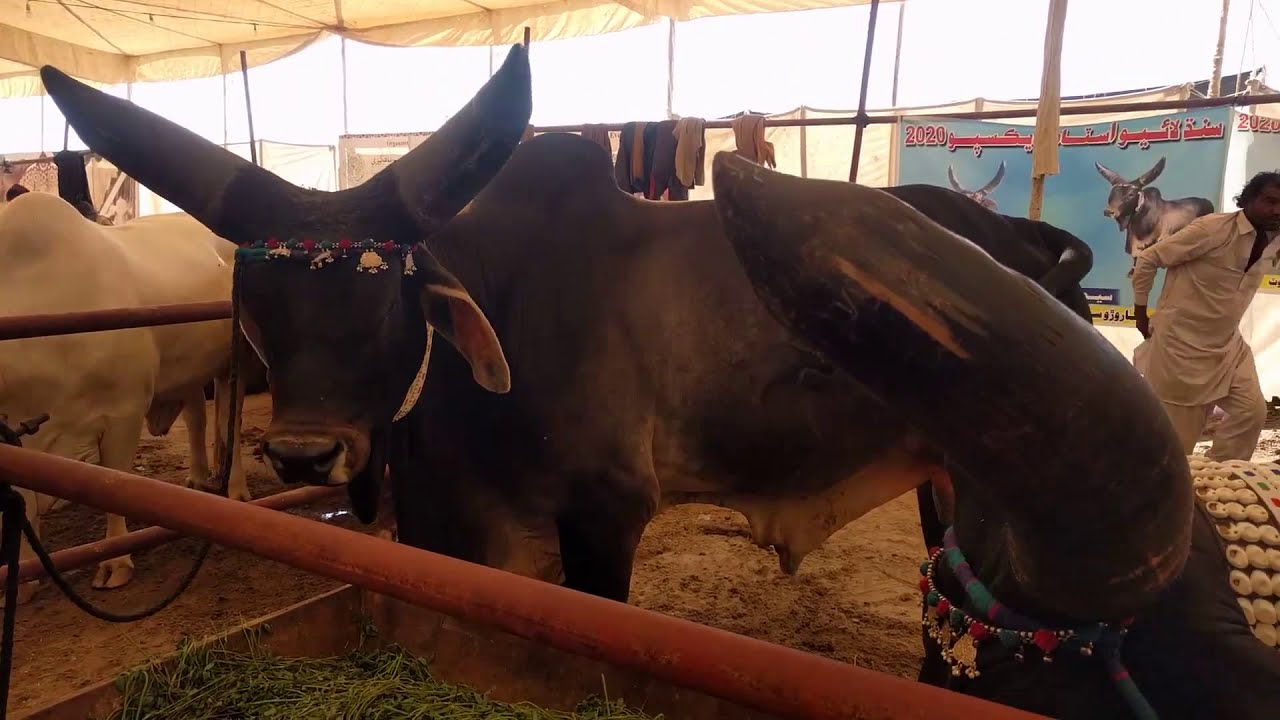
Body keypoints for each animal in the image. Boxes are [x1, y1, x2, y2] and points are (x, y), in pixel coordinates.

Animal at [0, 192, 251, 604]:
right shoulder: (15, 434)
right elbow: (27, 502)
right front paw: (23, 578)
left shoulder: (124, 410)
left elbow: (113, 482)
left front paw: (115, 562)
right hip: (191, 367)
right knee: (197, 418)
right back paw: (199, 479)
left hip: (236, 359)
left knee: (230, 417)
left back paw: (236, 489)